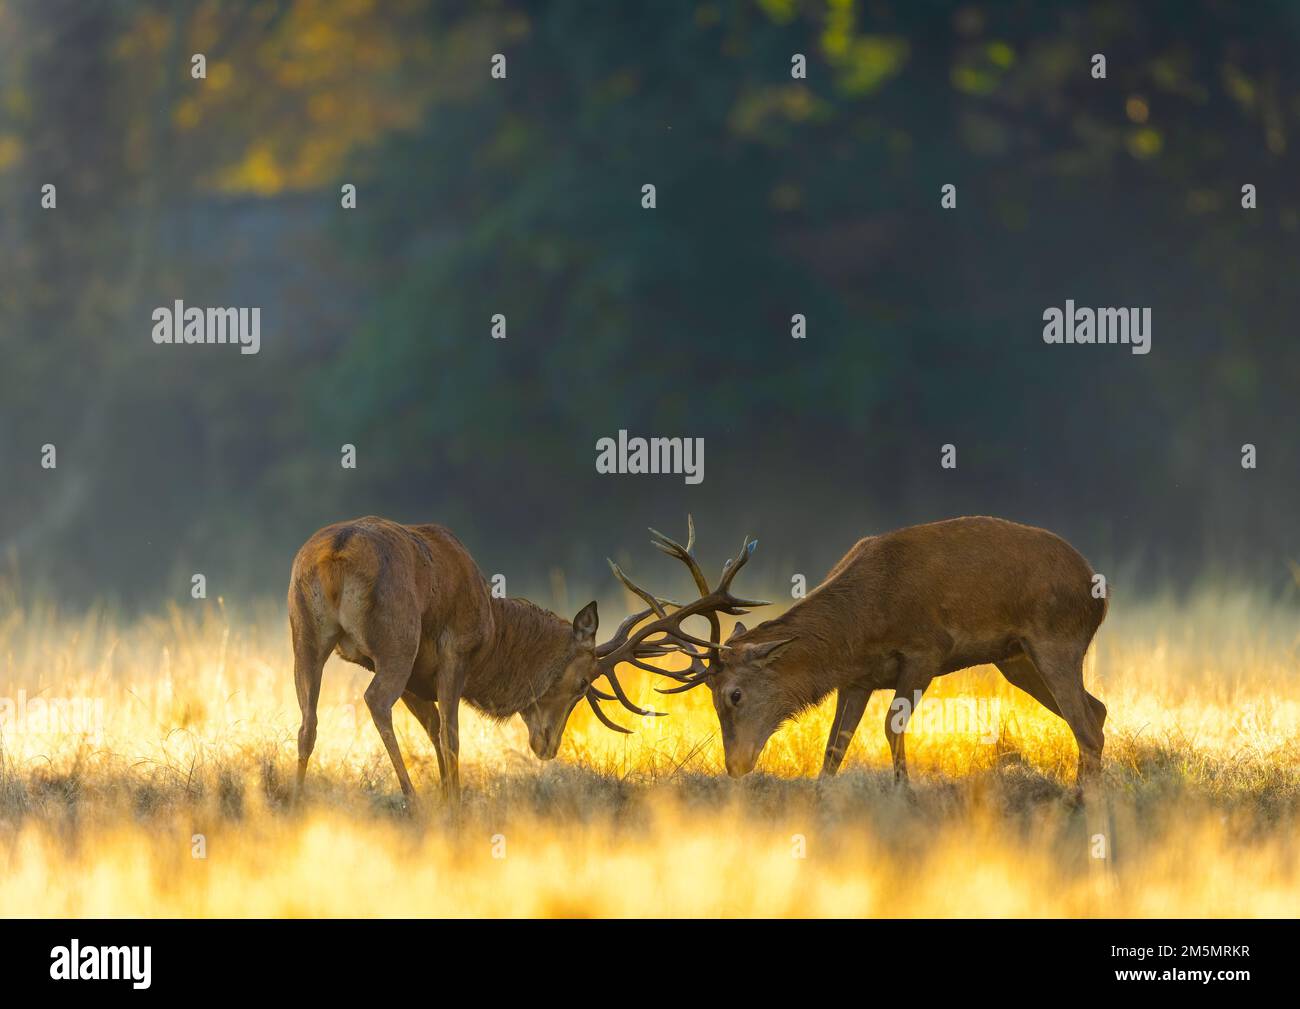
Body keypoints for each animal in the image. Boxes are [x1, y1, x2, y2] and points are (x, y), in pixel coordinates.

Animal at [287, 515, 763, 804]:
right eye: (580, 684)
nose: (548, 746)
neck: (494, 634)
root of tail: (334, 555)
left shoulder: (419, 682)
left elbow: (434, 731)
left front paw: (447, 795)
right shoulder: (455, 652)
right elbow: (451, 736)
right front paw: (453, 803)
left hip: (304, 636)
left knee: (308, 721)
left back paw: (297, 797)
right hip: (396, 640)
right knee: (374, 701)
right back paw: (410, 796)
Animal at [650, 516, 1109, 791]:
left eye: (735, 694)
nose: (735, 766)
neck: (858, 629)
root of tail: (1098, 589)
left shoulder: (926, 651)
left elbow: (892, 726)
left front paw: (903, 790)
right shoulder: (857, 679)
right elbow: (835, 745)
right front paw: (821, 794)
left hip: (1056, 639)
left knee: (1086, 725)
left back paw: (1080, 800)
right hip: (1015, 659)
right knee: (1097, 712)